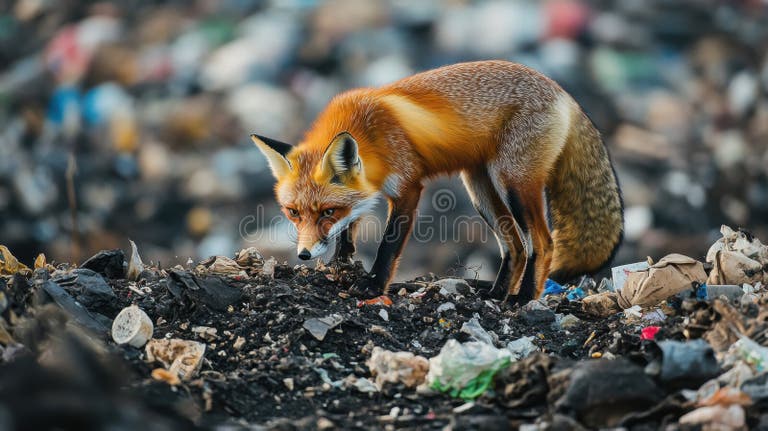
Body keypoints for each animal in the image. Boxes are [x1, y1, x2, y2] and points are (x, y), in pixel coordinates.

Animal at [251, 60, 623, 303]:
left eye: (326, 211)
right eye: (293, 213)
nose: (303, 255)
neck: (369, 131)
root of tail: (563, 92)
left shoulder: (408, 187)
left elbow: (388, 246)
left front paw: (373, 286)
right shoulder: (363, 194)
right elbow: (350, 227)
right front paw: (340, 262)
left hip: (513, 183)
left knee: (543, 243)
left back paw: (523, 299)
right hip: (480, 189)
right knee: (516, 247)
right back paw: (496, 292)